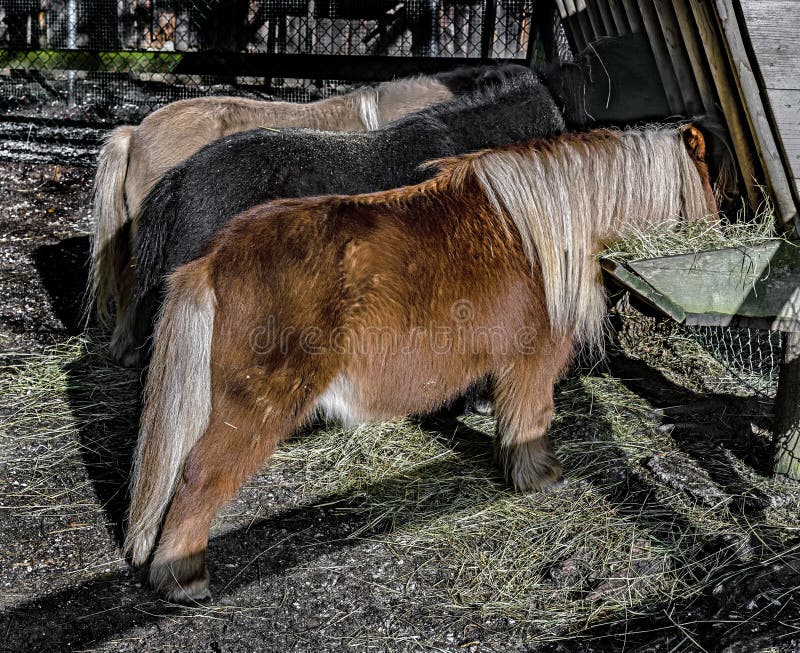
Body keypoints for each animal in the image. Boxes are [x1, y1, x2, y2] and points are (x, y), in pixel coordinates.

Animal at [123, 124, 717, 601]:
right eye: (710, 182)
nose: (719, 224)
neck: (539, 229)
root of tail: (214, 259)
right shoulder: (533, 362)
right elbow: (531, 419)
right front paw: (539, 477)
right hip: (255, 406)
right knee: (199, 478)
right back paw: (183, 579)